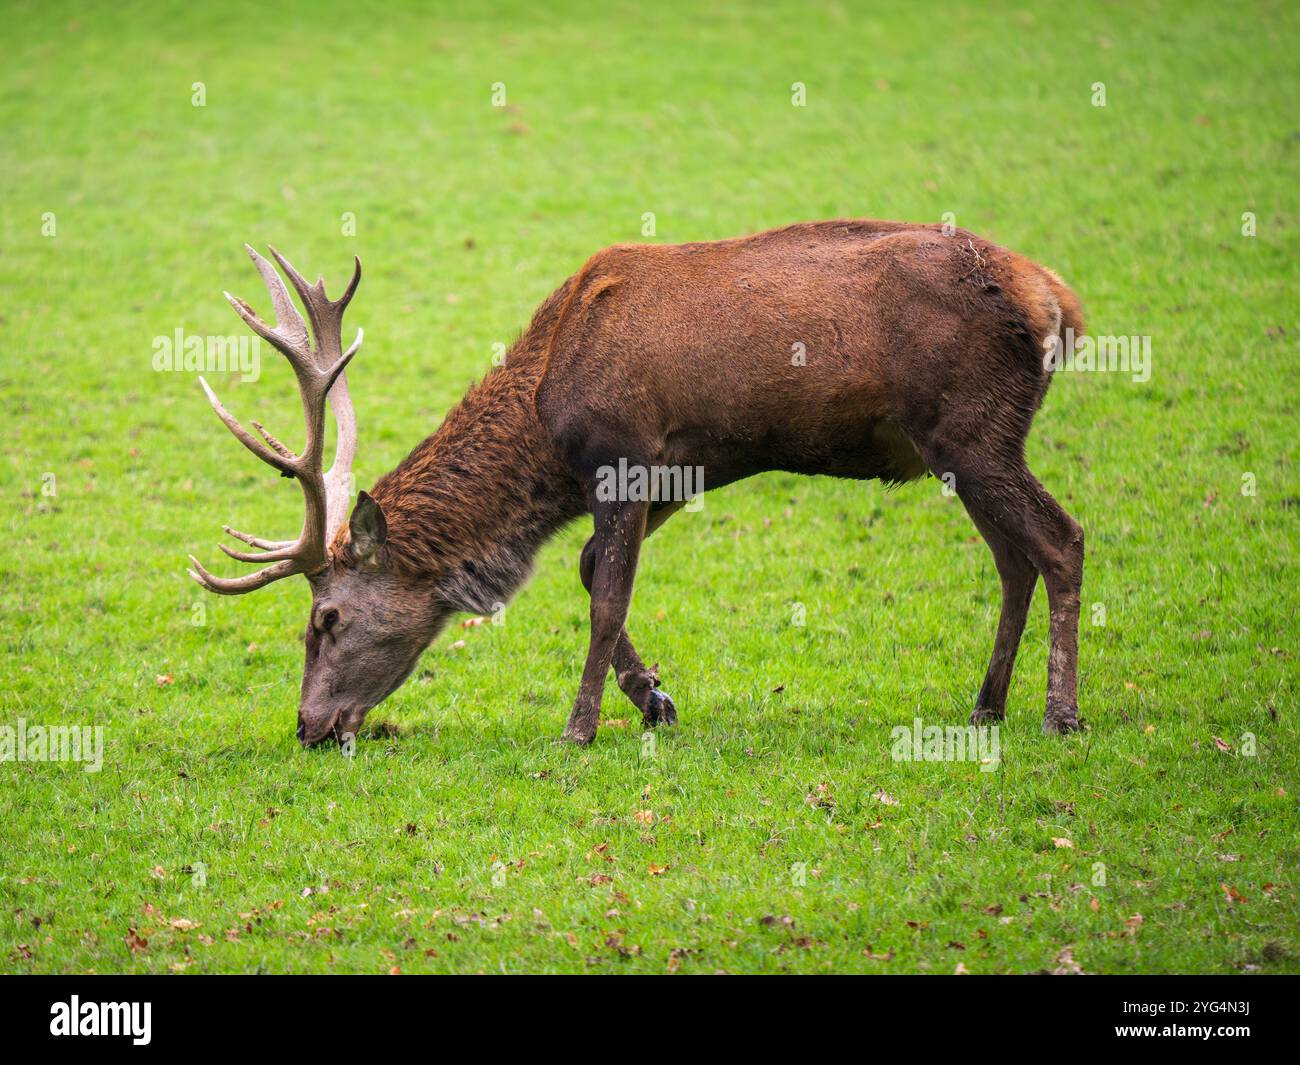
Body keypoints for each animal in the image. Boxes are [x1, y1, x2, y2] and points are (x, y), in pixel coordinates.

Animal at [188, 221, 1086, 749]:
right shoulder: (675, 470)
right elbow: (592, 571)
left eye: (325, 619)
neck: (546, 415)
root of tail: (1059, 301)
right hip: (960, 449)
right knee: (1014, 559)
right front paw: (653, 696)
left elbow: (605, 595)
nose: (306, 723)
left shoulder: (621, 455)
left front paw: (579, 727)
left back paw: (1060, 712)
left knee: (1061, 539)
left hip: (973, 430)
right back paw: (987, 703)